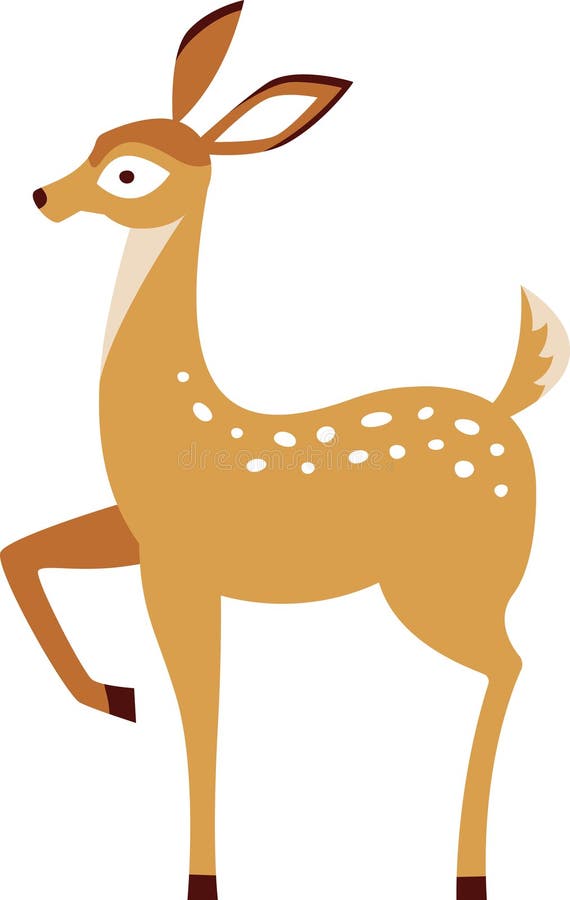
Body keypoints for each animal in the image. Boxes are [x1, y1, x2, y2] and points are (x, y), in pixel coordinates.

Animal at [2, 3, 568, 899]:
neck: (177, 417)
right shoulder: (136, 534)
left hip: (445, 582)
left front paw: (201, 878)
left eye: (127, 173)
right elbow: (19, 552)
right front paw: (113, 696)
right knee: (505, 665)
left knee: (509, 663)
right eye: (96, 138)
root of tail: (509, 408)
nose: (41, 194)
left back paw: (469, 872)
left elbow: (202, 708)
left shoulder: (182, 567)